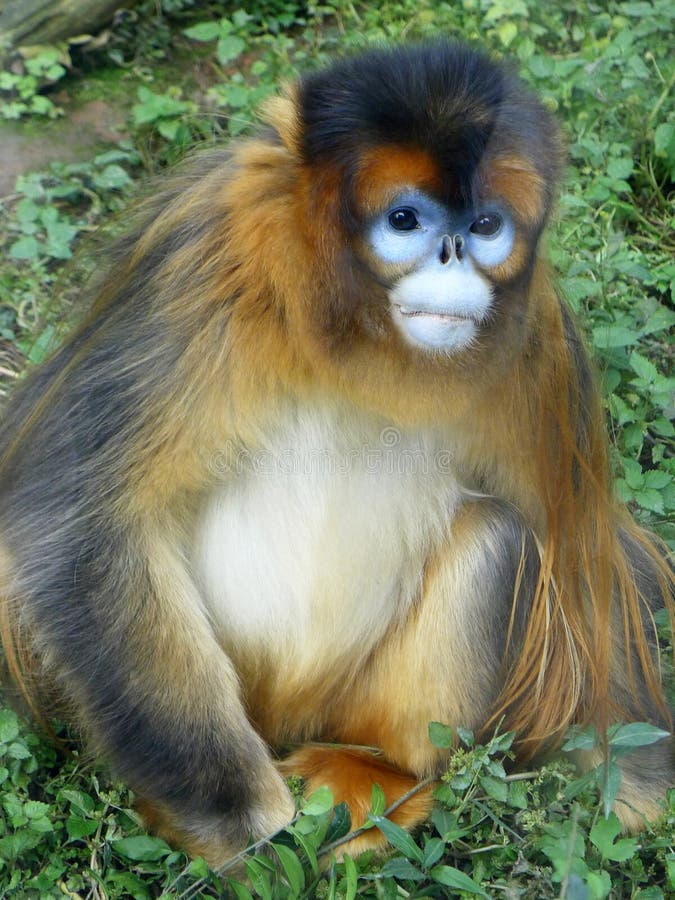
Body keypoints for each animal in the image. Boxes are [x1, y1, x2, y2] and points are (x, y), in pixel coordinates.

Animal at [0, 42, 672, 868]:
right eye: (405, 220)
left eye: (485, 225)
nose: (453, 252)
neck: (353, 334)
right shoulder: (194, 267)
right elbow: (75, 524)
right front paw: (239, 822)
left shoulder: (537, 341)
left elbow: (584, 551)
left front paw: (634, 789)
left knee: (498, 537)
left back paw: (377, 771)